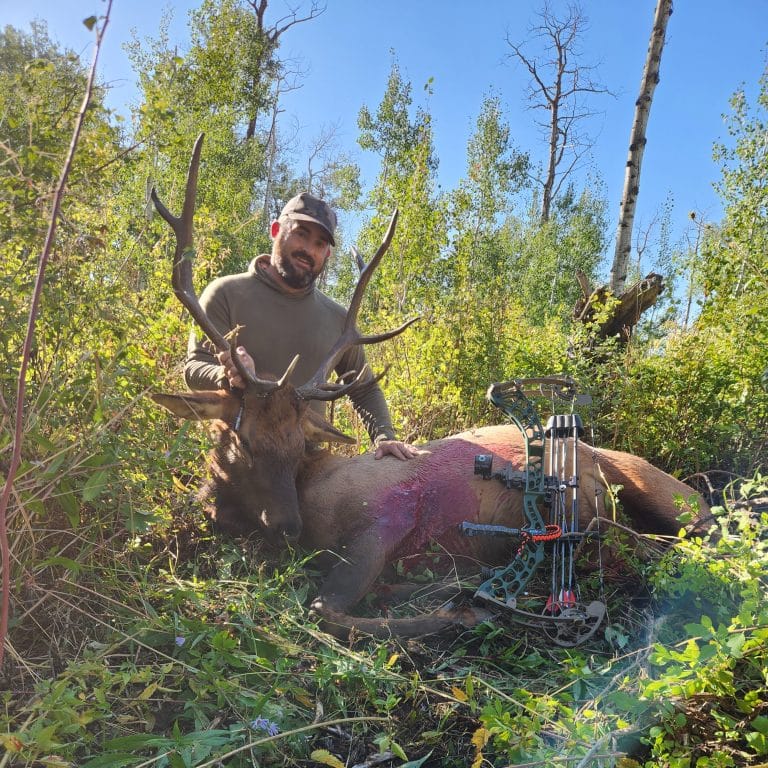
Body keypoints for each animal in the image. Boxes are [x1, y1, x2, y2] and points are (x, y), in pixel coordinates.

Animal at [150, 136, 710, 639]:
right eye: (240, 441)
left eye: (295, 445)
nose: (288, 526)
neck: (311, 488)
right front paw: (446, 591)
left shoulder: (390, 514)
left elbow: (326, 609)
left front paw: (459, 611)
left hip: (667, 494)